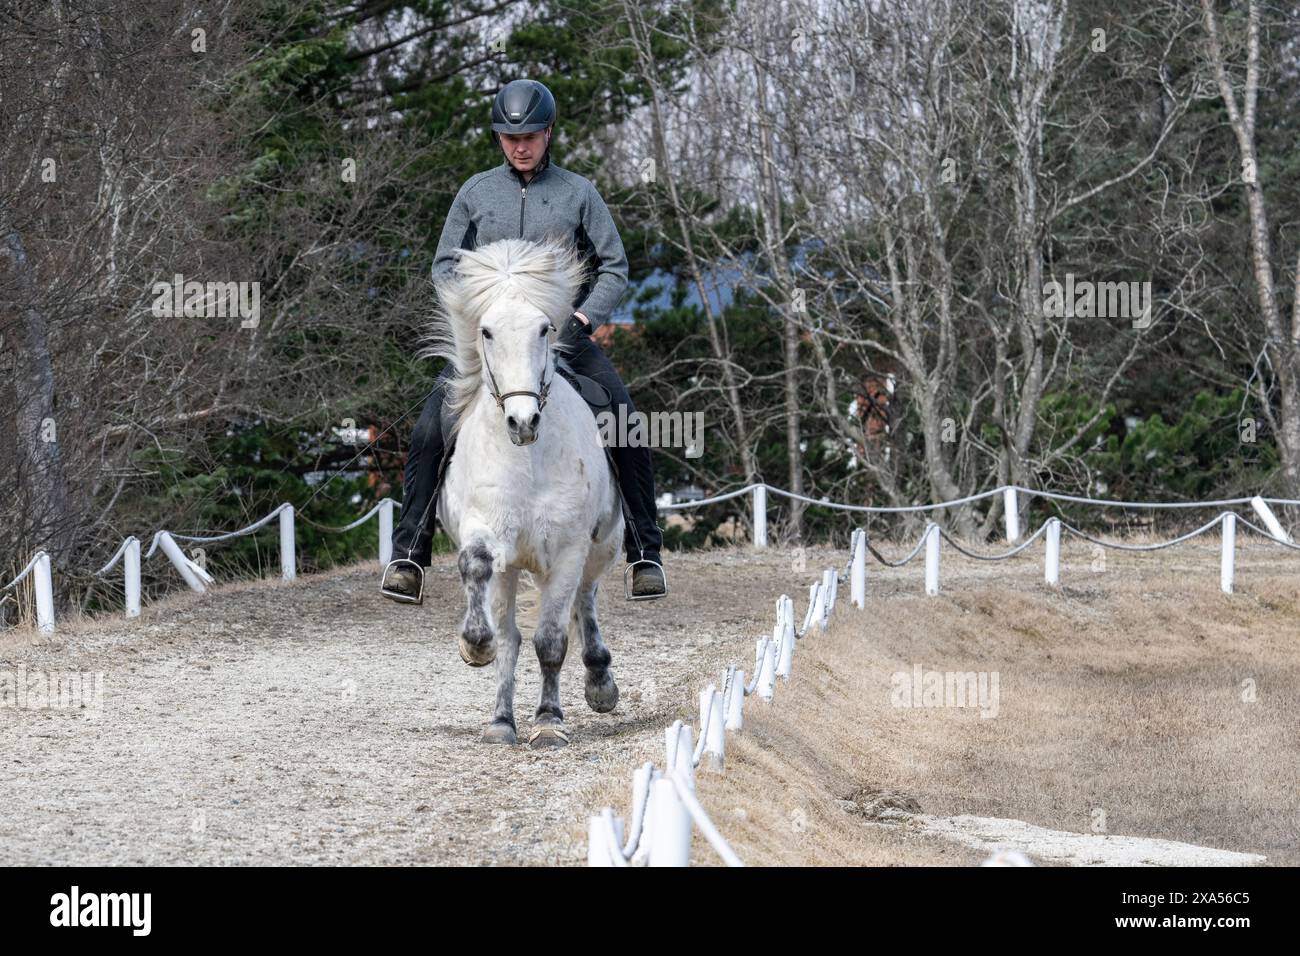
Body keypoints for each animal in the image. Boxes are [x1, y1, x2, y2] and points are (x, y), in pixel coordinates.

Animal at [428, 237, 624, 749]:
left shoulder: (569, 550)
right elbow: (489, 599)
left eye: (544, 328)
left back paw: (600, 683)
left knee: (586, 600)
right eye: (487, 331)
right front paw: (477, 652)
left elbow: (552, 640)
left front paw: (549, 721)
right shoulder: (488, 534)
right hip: (516, 565)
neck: (528, 458)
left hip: (601, 547)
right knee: (519, 630)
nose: (522, 421)